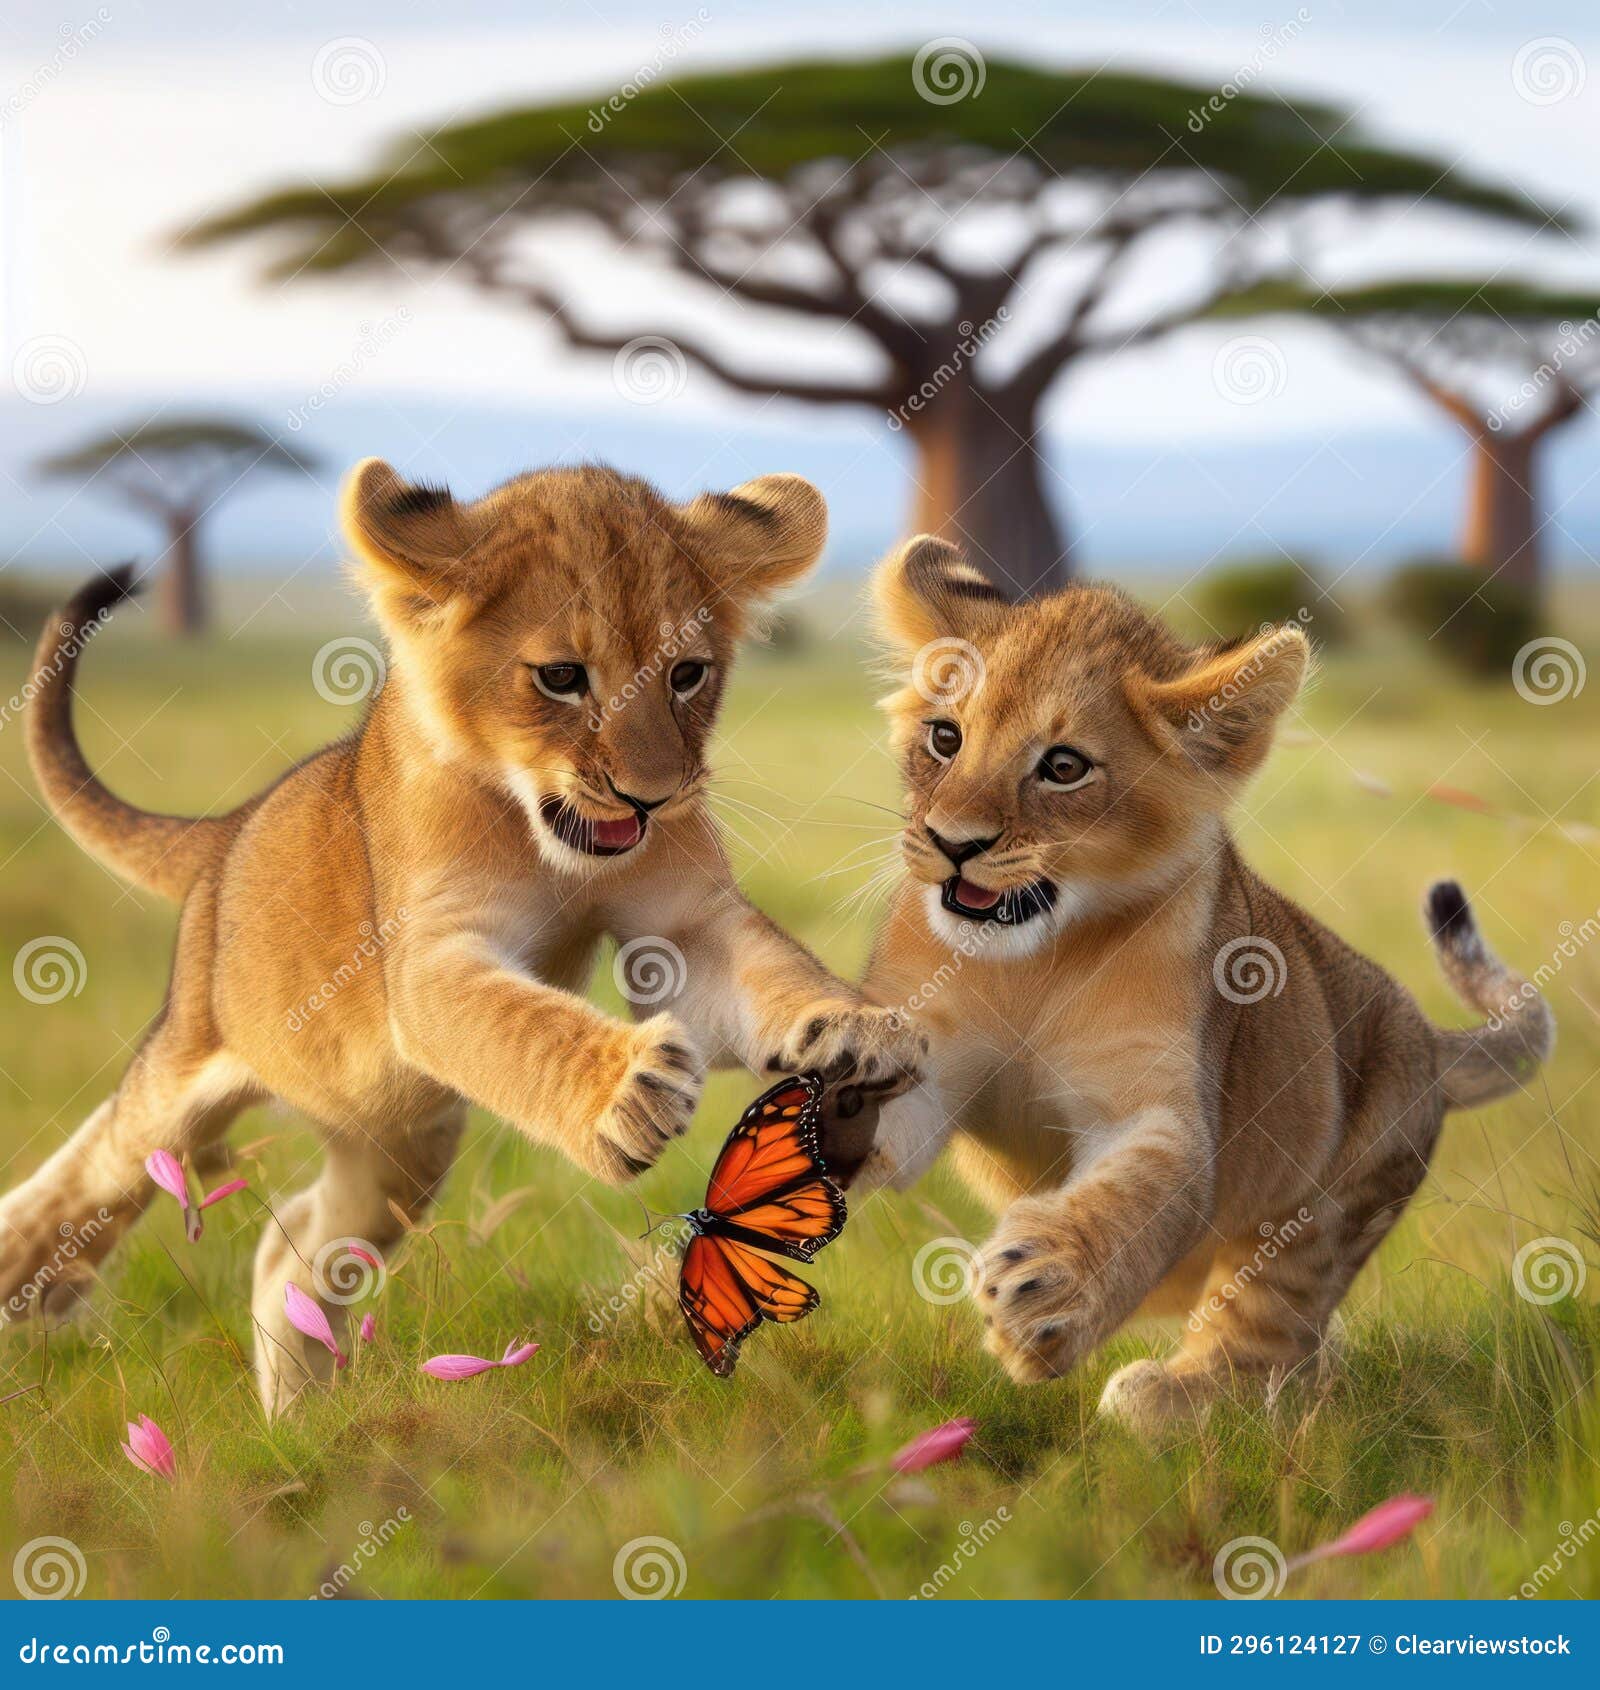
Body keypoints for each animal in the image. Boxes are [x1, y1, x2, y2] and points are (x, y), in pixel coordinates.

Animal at [0, 461, 922, 1411]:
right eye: (561, 677)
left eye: (689, 674)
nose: (653, 795)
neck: (543, 838)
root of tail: (227, 834)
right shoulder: (425, 960)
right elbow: (522, 1025)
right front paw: (627, 1093)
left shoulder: (683, 922)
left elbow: (766, 973)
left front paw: (856, 1028)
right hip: (189, 1064)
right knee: (101, 1161)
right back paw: (29, 1279)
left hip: (397, 1143)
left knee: (297, 1246)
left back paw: (296, 1418)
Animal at [851, 534, 1554, 1433]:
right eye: (944, 737)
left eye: (1063, 766)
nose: (952, 842)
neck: (1030, 963)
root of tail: (1430, 1040)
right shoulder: (927, 1050)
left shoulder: (1163, 1106)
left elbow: (1141, 1196)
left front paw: (1046, 1292)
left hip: (1326, 1212)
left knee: (1269, 1345)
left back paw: (1170, 1397)